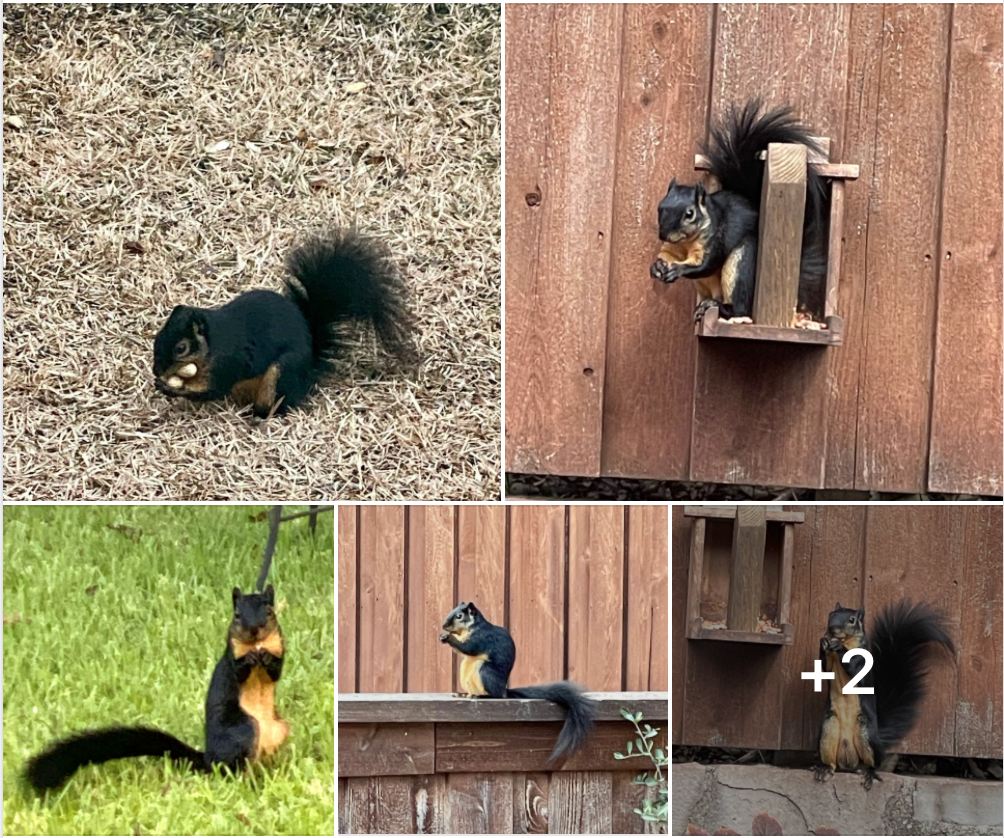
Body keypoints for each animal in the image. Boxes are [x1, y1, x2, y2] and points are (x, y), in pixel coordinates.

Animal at [25, 585, 288, 792]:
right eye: (236, 615)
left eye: (270, 611)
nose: (255, 629)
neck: (256, 645)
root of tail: (209, 759)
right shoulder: (232, 659)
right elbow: (239, 670)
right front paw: (250, 659)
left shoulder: (279, 649)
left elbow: (276, 669)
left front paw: (265, 658)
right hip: (244, 729)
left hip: (278, 729)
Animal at [153, 228, 416, 419]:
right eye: (157, 338)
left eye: (181, 348)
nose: (156, 370)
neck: (213, 343)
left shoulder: (229, 361)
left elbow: (213, 389)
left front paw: (170, 388)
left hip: (280, 374)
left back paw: (259, 416)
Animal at [439, 601, 596, 762]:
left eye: (459, 616)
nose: (444, 626)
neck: (469, 628)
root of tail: (504, 690)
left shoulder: (482, 637)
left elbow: (468, 648)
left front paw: (448, 637)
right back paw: (464, 694)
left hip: (485, 670)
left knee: (496, 695)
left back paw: (481, 696)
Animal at [649, 98, 828, 323]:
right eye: (660, 207)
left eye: (690, 213)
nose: (664, 234)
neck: (685, 242)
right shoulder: (671, 249)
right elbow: (667, 255)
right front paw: (657, 267)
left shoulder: (715, 238)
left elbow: (704, 265)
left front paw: (680, 269)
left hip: (740, 265)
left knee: (739, 308)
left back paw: (720, 307)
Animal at [814, 600, 955, 789]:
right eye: (830, 615)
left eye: (852, 620)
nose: (832, 628)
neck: (845, 641)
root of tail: (850, 763)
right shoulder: (829, 663)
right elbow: (824, 667)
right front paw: (823, 642)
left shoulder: (861, 659)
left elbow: (853, 665)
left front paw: (839, 647)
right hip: (828, 729)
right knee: (831, 761)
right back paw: (825, 769)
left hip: (866, 735)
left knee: (873, 763)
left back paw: (869, 773)